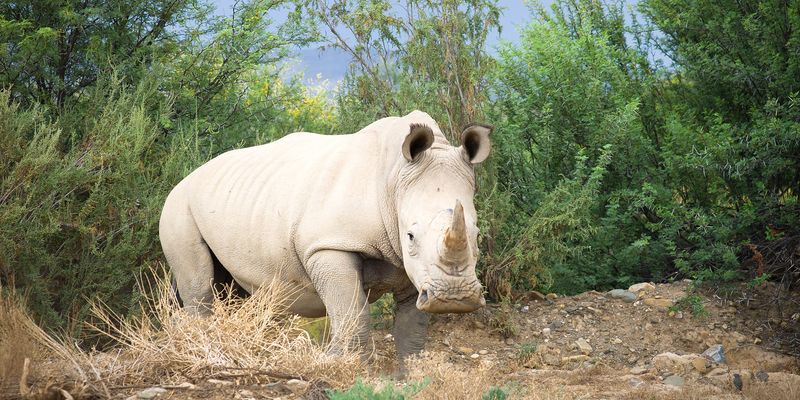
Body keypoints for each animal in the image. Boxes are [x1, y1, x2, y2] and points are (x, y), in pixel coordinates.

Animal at [159, 110, 491, 370]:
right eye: (410, 236)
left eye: (476, 235)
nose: (455, 297)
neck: (394, 181)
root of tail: (186, 177)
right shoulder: (329, 245)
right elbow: (352, 313)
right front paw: (344, 367)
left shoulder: (414, 270)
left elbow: (412, 330)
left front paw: (410, 378)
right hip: (178, 206)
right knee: (200, 287)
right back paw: (203, 347)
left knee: (229, 289)